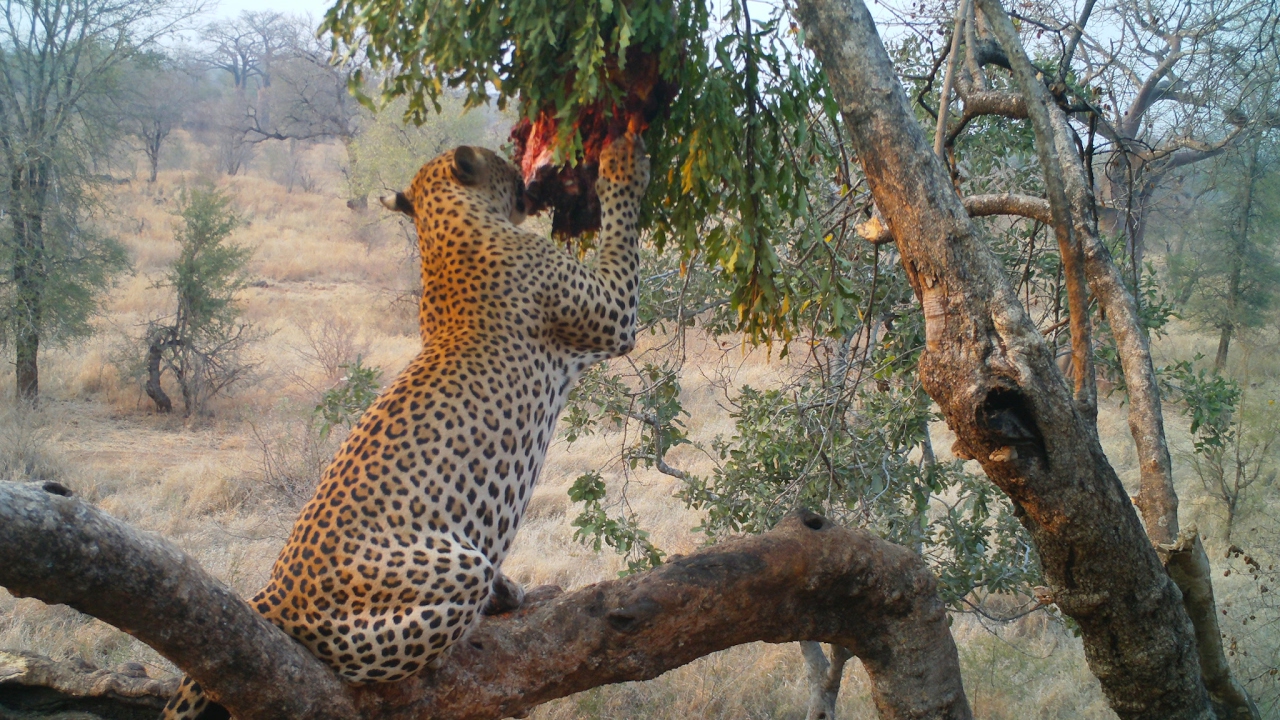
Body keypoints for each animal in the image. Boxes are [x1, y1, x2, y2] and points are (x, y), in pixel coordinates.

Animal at [162, 132, 649, 719]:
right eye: (505, 163)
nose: (531, 184)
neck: (441, 228)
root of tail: (273, 594)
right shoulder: (614, 315)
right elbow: (622, 224)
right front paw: (623, 159)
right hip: (456, 567)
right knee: (363, 666)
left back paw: (506, 594)